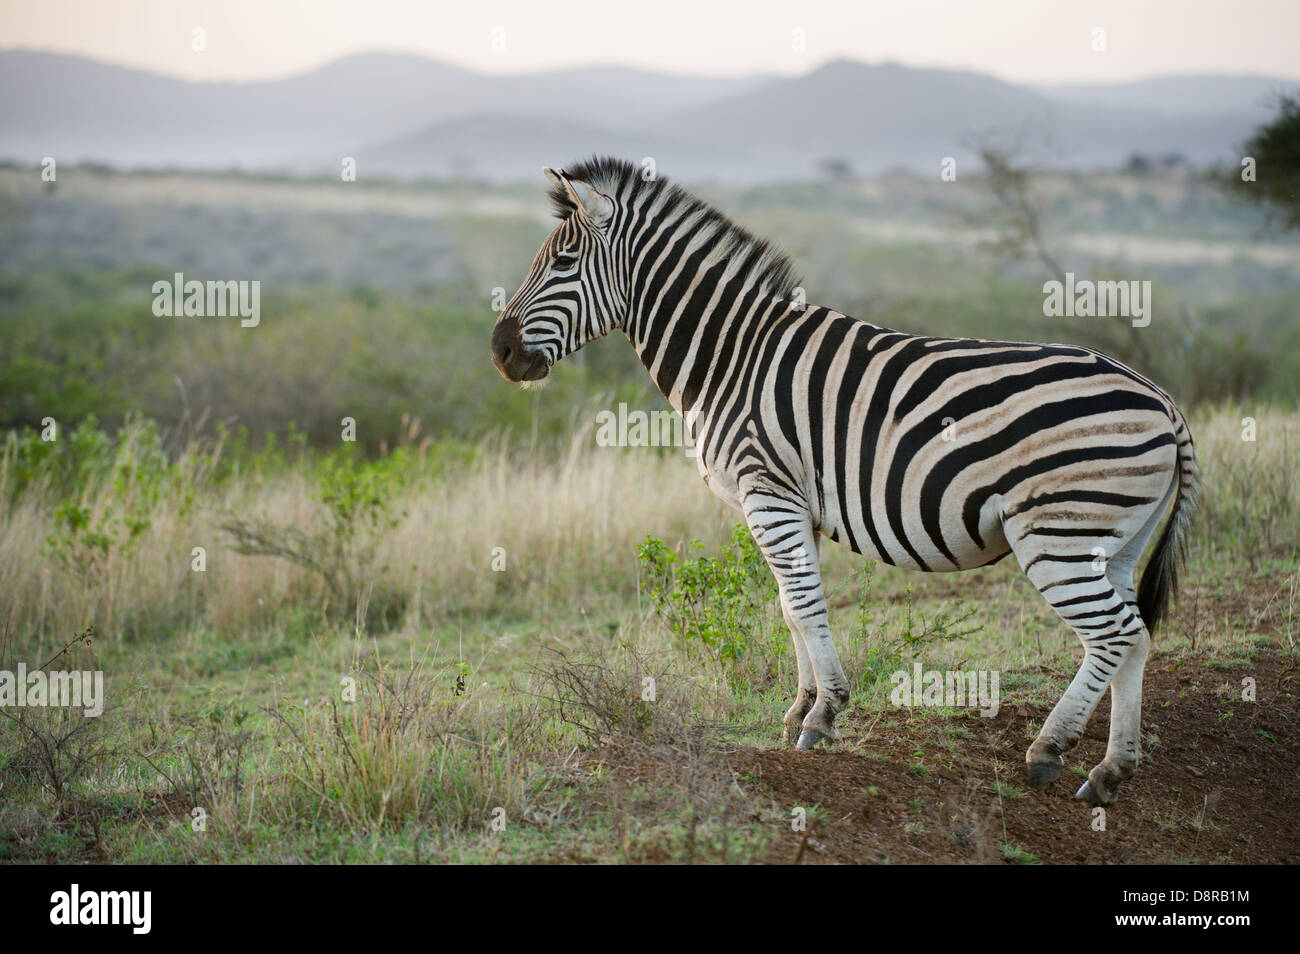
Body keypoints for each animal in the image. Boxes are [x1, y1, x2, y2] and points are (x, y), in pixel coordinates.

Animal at [490, 157, 1198, 807]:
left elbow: (803, 605)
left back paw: (1051, 751)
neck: (731, 357)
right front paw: (798, 710)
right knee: (1134, 635)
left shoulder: (767, 491)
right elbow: (790, 606)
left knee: (1115, 633)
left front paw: (823, 716)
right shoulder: (786, 504)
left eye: (563, 262)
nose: (499, 352)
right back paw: (1110, 772)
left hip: (1058, 532)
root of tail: (1162, 399)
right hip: (1113, 539)